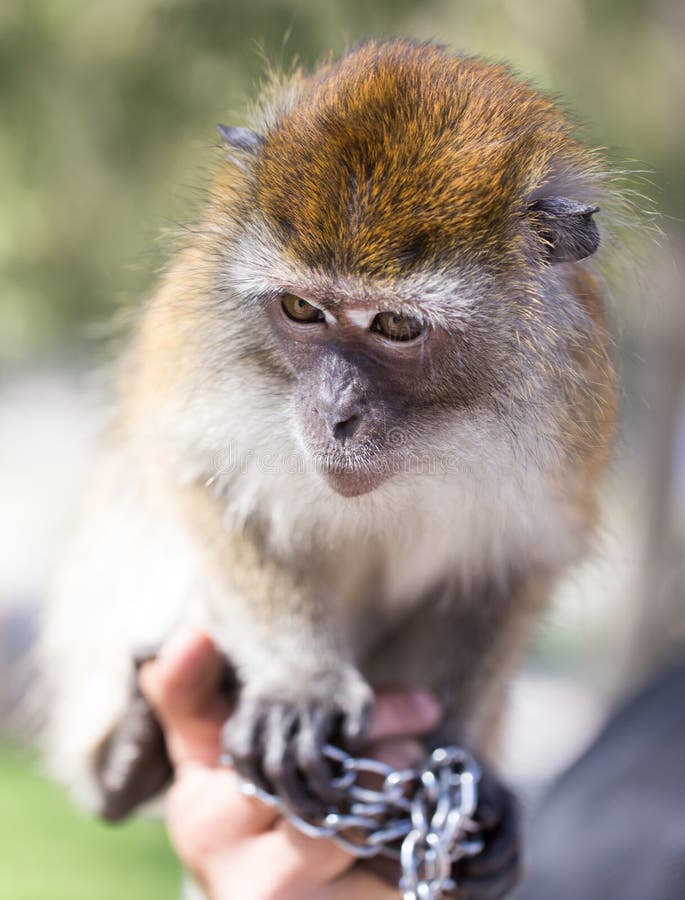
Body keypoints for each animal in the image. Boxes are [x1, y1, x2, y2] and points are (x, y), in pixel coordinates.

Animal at [39, 39, 617, 898]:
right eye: (302, 310)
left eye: (397, 325)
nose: (334, 413)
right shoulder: (200, 359)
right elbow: (197, 480)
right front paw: (300, 684)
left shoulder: (566, 418)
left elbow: (513, 565)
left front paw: (463, 762)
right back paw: (127, 759)